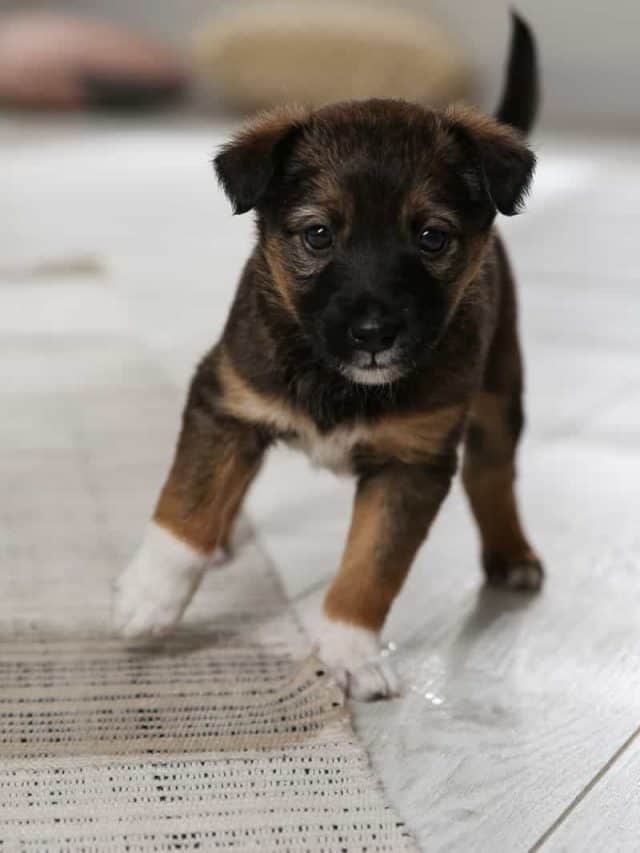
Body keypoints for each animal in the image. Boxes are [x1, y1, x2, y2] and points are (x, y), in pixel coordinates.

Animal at [114, 15, 540, 700]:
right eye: (318, 235)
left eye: (433, 238)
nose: (373, 333)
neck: (334, 376)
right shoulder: (225, 399)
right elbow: (186, 506)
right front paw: (150, 596)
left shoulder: (412, 464)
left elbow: (373, 564)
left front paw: (348, 650)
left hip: (503, 386)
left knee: (493, 474)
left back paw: (512, 555)